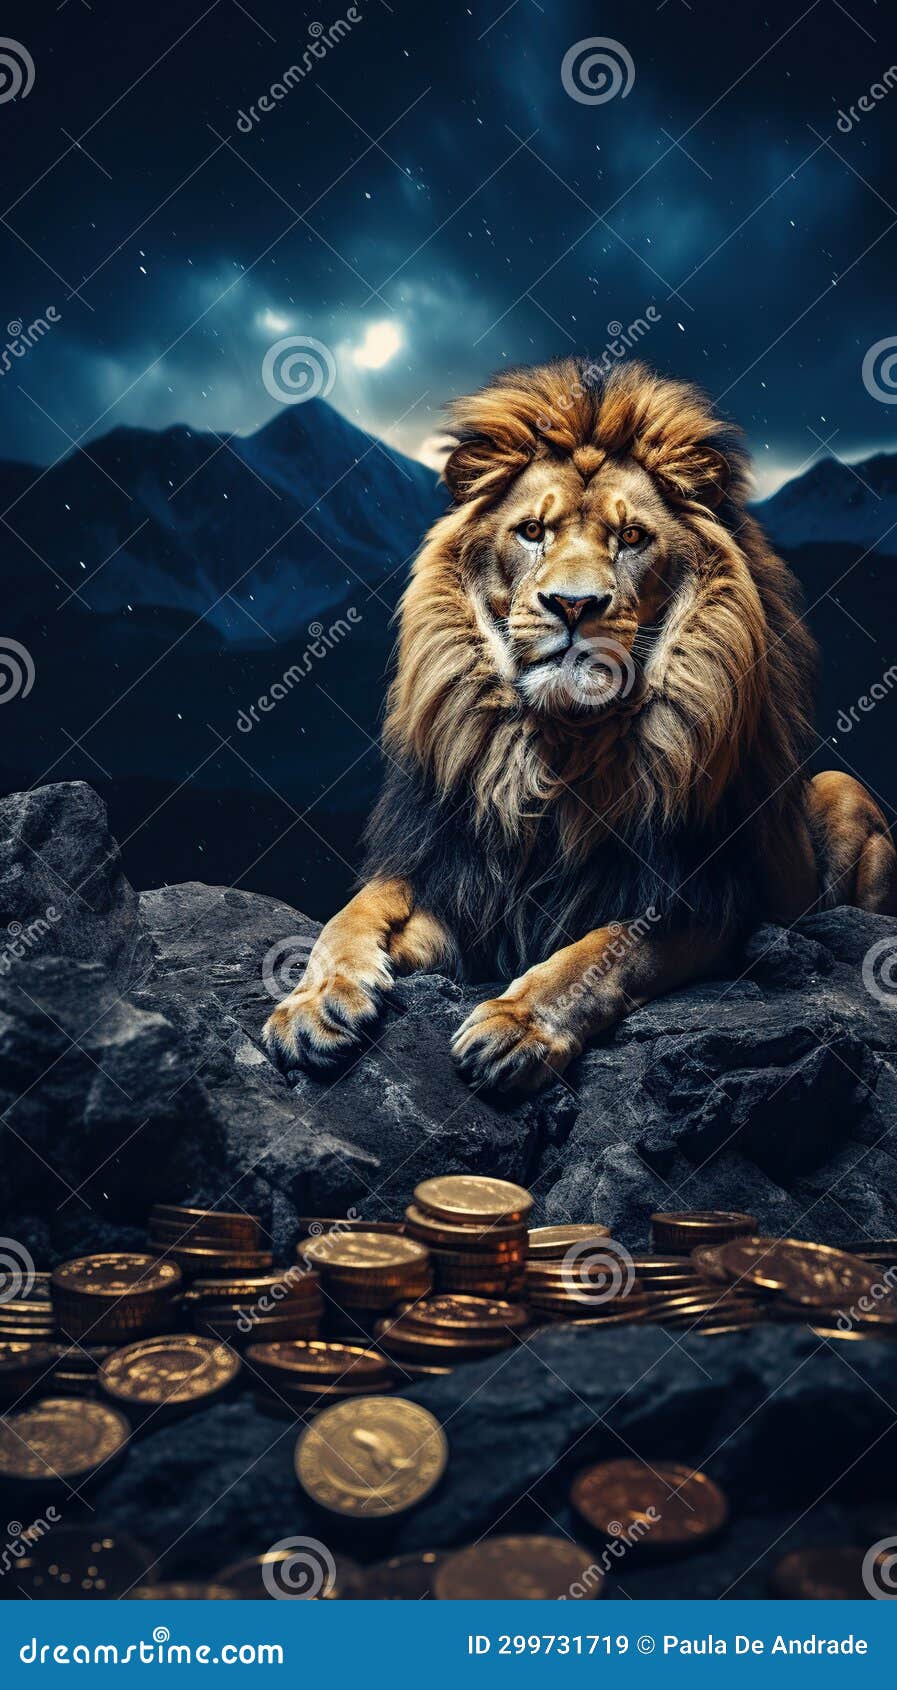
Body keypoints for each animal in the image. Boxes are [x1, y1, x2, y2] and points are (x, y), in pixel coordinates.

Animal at [263, 357, 897, 1093]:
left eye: (632, 538)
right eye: (532, 532)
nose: (572, 604)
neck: (562, 742)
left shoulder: (701, 899)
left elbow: (602, 952)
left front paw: (514, 1026)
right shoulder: (455, 873)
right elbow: (355, 912)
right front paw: (312, 1006)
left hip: (841, 788)